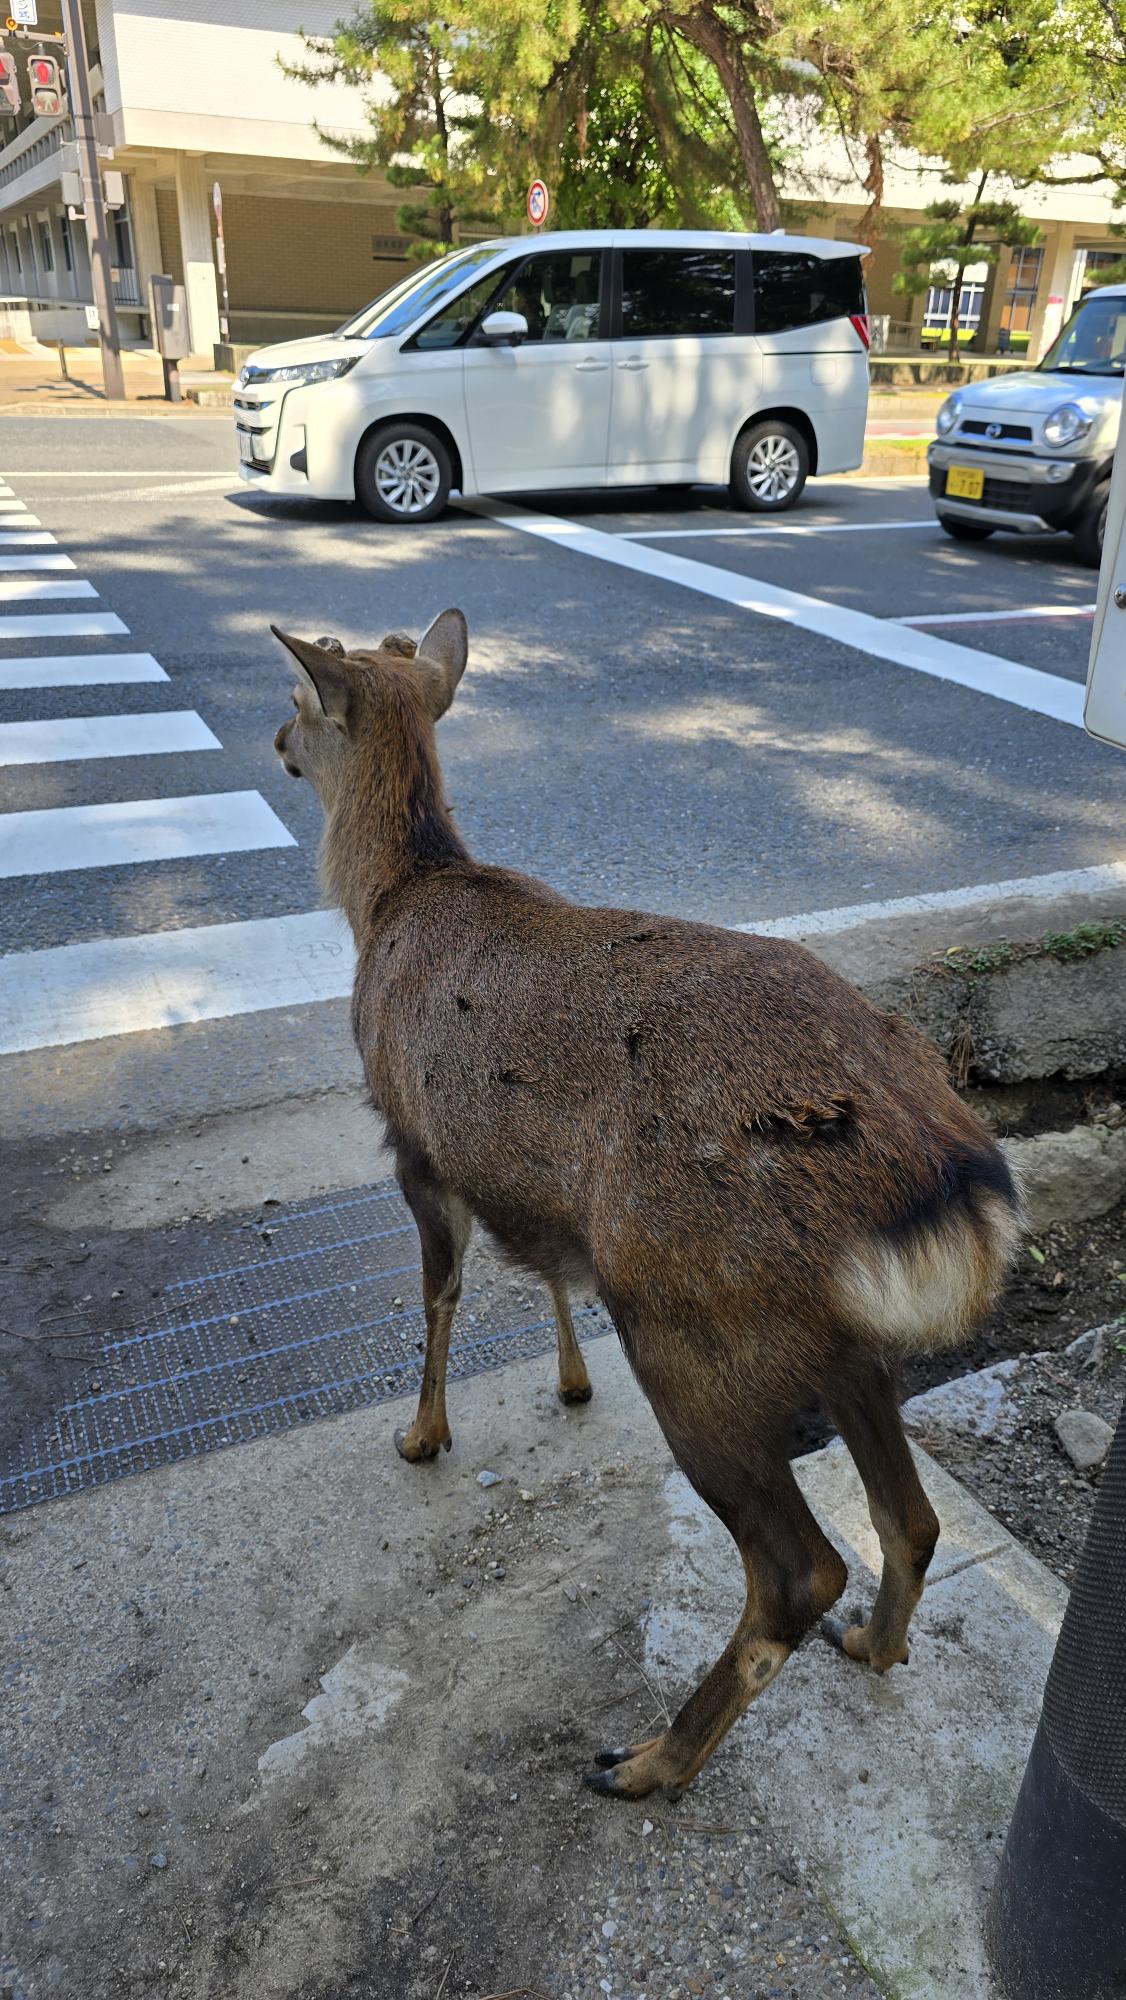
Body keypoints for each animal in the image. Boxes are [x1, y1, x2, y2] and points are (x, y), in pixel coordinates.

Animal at [274, 604, 1024, 1800]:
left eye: (301, 700)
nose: (273, 743)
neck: (386, 905)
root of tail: (953, 1188)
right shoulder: (525, 1184)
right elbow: (542, 1267)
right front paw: (569, 1383)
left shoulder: (413, 1139)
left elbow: (441, 1291)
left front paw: (421, 1435)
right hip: (831, 1334)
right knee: (907, 1518)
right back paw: (874, 1642)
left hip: (689, 1316)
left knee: (796, 1567)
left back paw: (651, 1757)